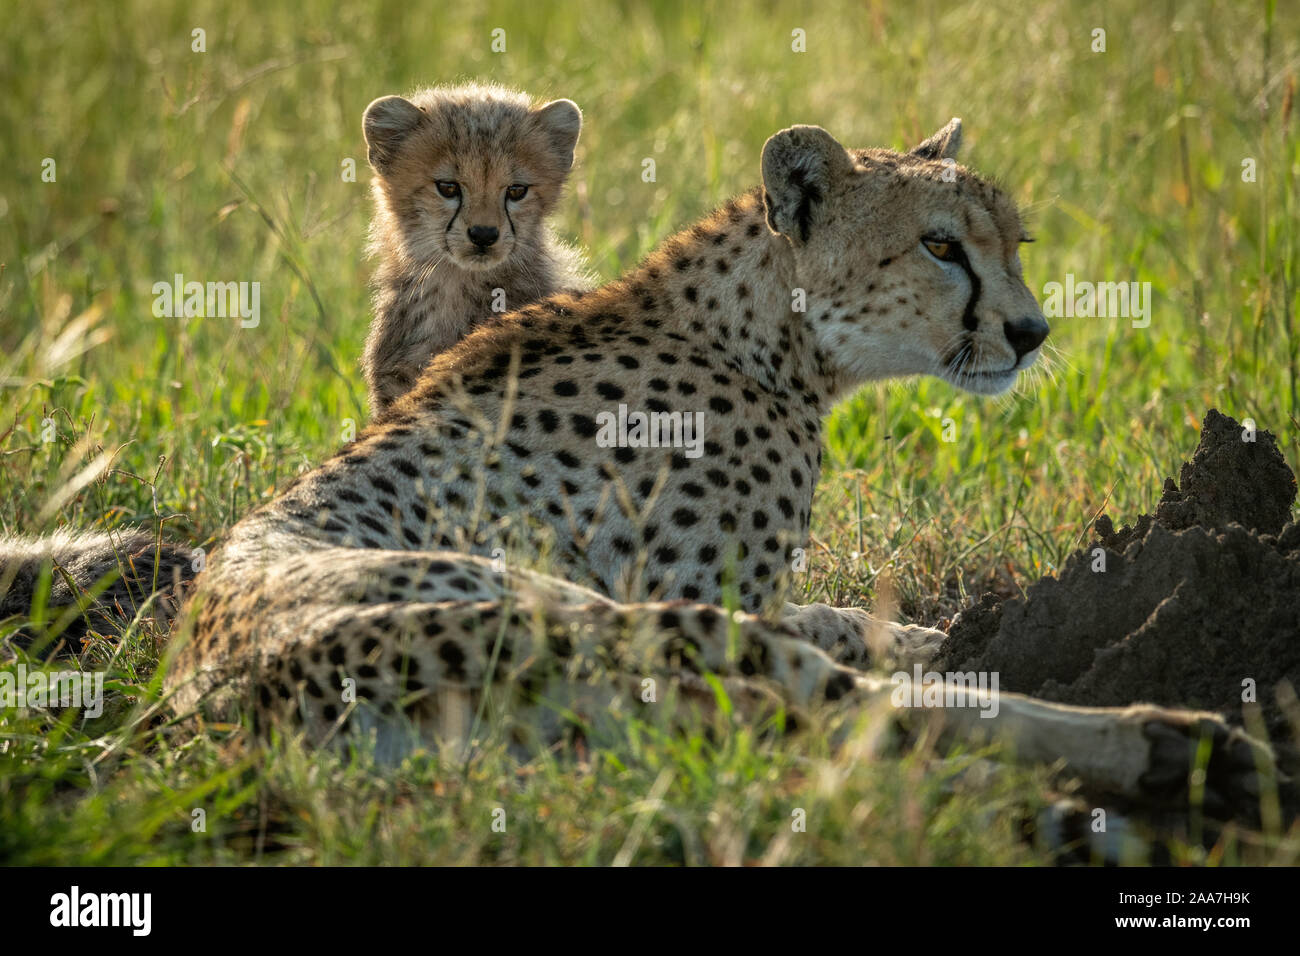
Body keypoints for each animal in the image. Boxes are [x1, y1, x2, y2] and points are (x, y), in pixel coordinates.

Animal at [159, 117, 1273, 814]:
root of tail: (232, 693)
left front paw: (939, 632)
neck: (762, 338)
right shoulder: (702, 596)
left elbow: (848, 619)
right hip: (582, 615)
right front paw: (956, 648)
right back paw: (1168, 737)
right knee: (865, 716)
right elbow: (841, 649)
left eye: (1014, 242)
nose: (1032, 332)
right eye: (941, 246)